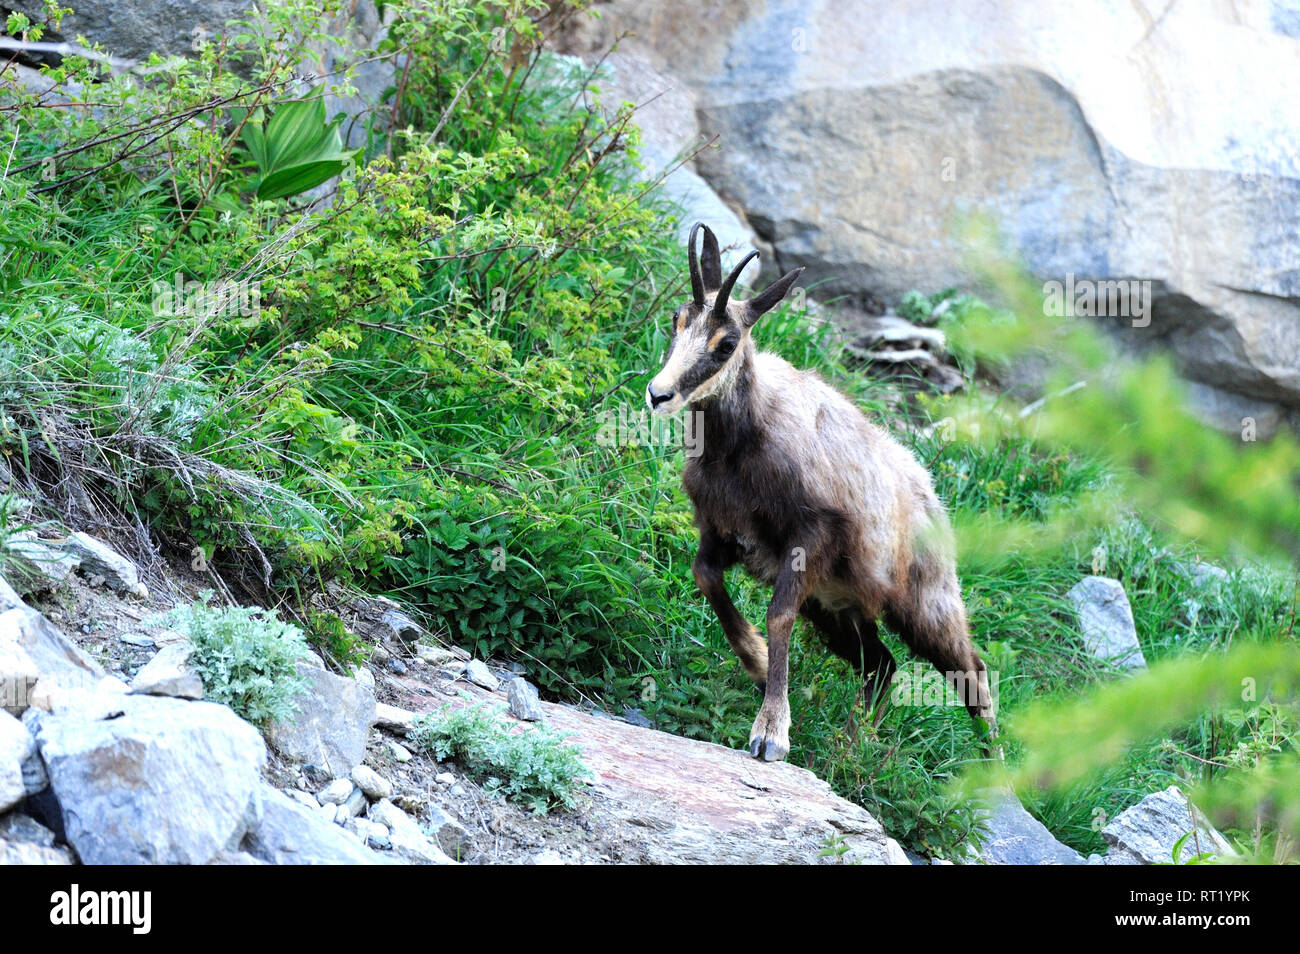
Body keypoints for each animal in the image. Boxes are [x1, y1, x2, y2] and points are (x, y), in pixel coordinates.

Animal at [646, 223, 997, 761]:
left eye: (727, 344)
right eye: (676, 319)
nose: (658, 394)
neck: (741, 446)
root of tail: (933, 498)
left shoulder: (811, 536)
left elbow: (778, 614)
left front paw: (771, 731)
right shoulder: (718, 526)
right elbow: (705, 577)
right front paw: (755, 660)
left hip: (924, 604)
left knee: (971, 671)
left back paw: (995, 767)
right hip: (836, 607)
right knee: (882, 663)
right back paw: (852, 744)